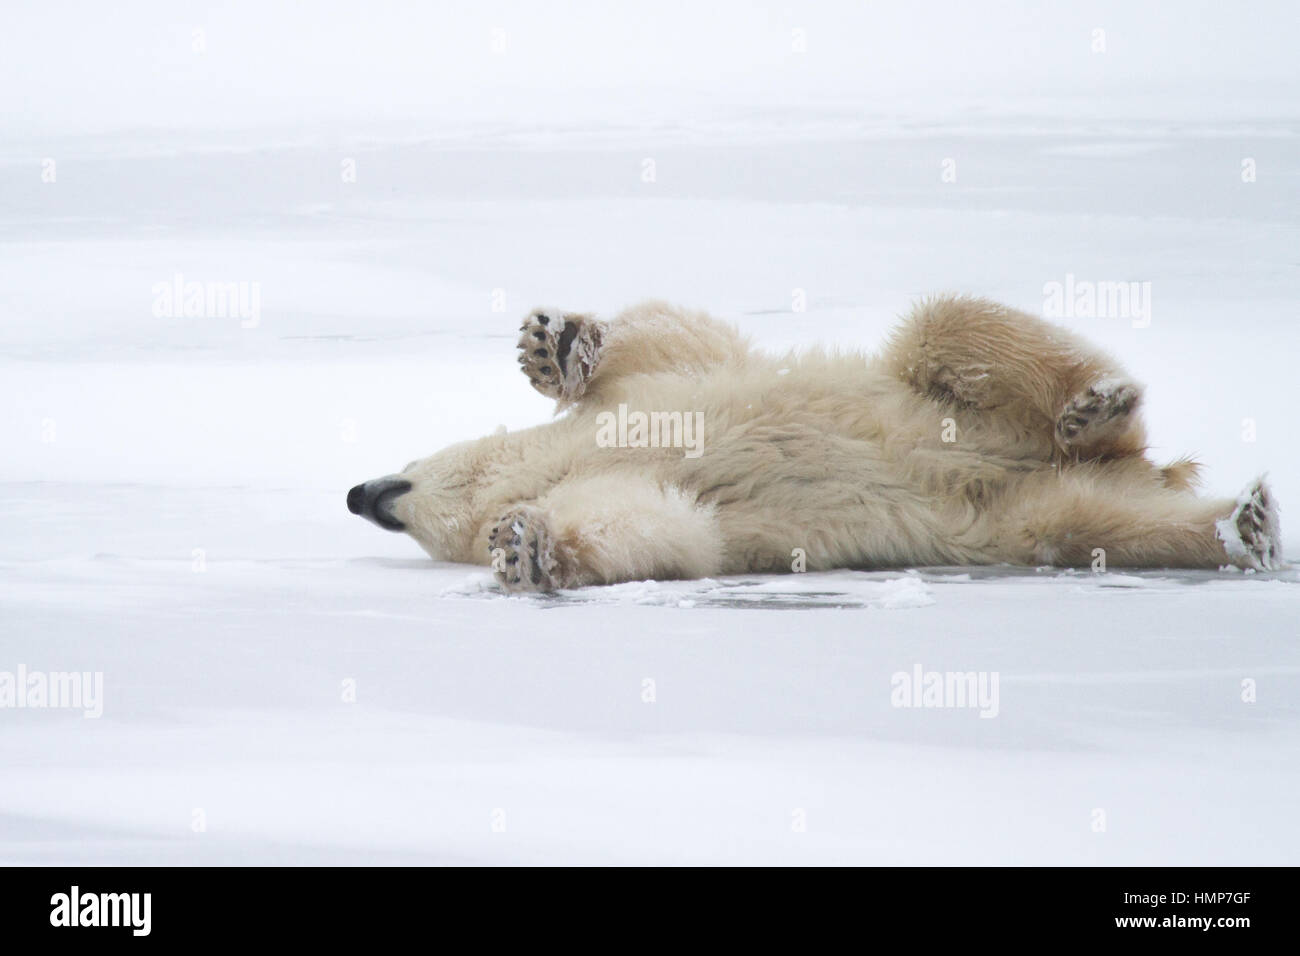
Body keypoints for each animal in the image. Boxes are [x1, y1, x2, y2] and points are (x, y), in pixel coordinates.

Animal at [346, 296, 1283, 592]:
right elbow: (660, 525)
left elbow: (677, 338)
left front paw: (557, 344)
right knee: (1098, 520)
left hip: (968, 406)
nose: (361, 494)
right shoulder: (625, 487)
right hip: (1025, 515)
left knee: (948, 329)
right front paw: (529, 547)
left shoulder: (653, 395)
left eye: (404, 505)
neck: (562, 456)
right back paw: (1242, 526)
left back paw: (1094, 408)